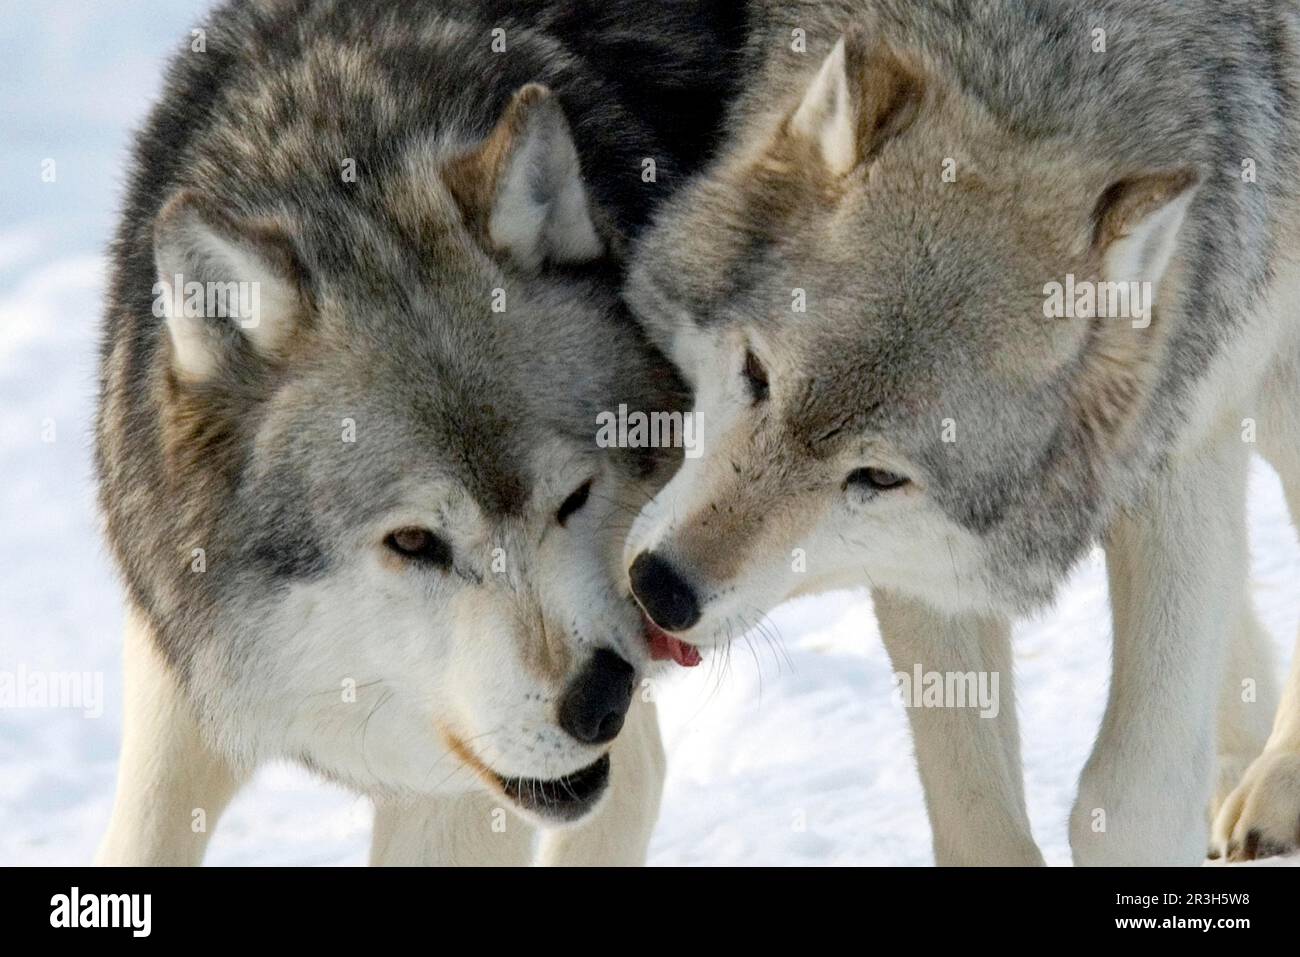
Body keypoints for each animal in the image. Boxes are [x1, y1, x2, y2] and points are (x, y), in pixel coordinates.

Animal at [94, 0, 743, 865]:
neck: (344, 135)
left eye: (574, 498)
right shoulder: (175, 683)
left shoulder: (461, 799)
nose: (600, 698)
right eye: (411, 542)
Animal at [624, 0, 1300, 865]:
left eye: (878, 477)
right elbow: (977, 815)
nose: (661, 587)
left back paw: (1274, 782)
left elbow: (1129, 795)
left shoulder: (1184, 440)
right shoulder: (931, 564)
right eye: (756, 374)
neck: (1041, 69)